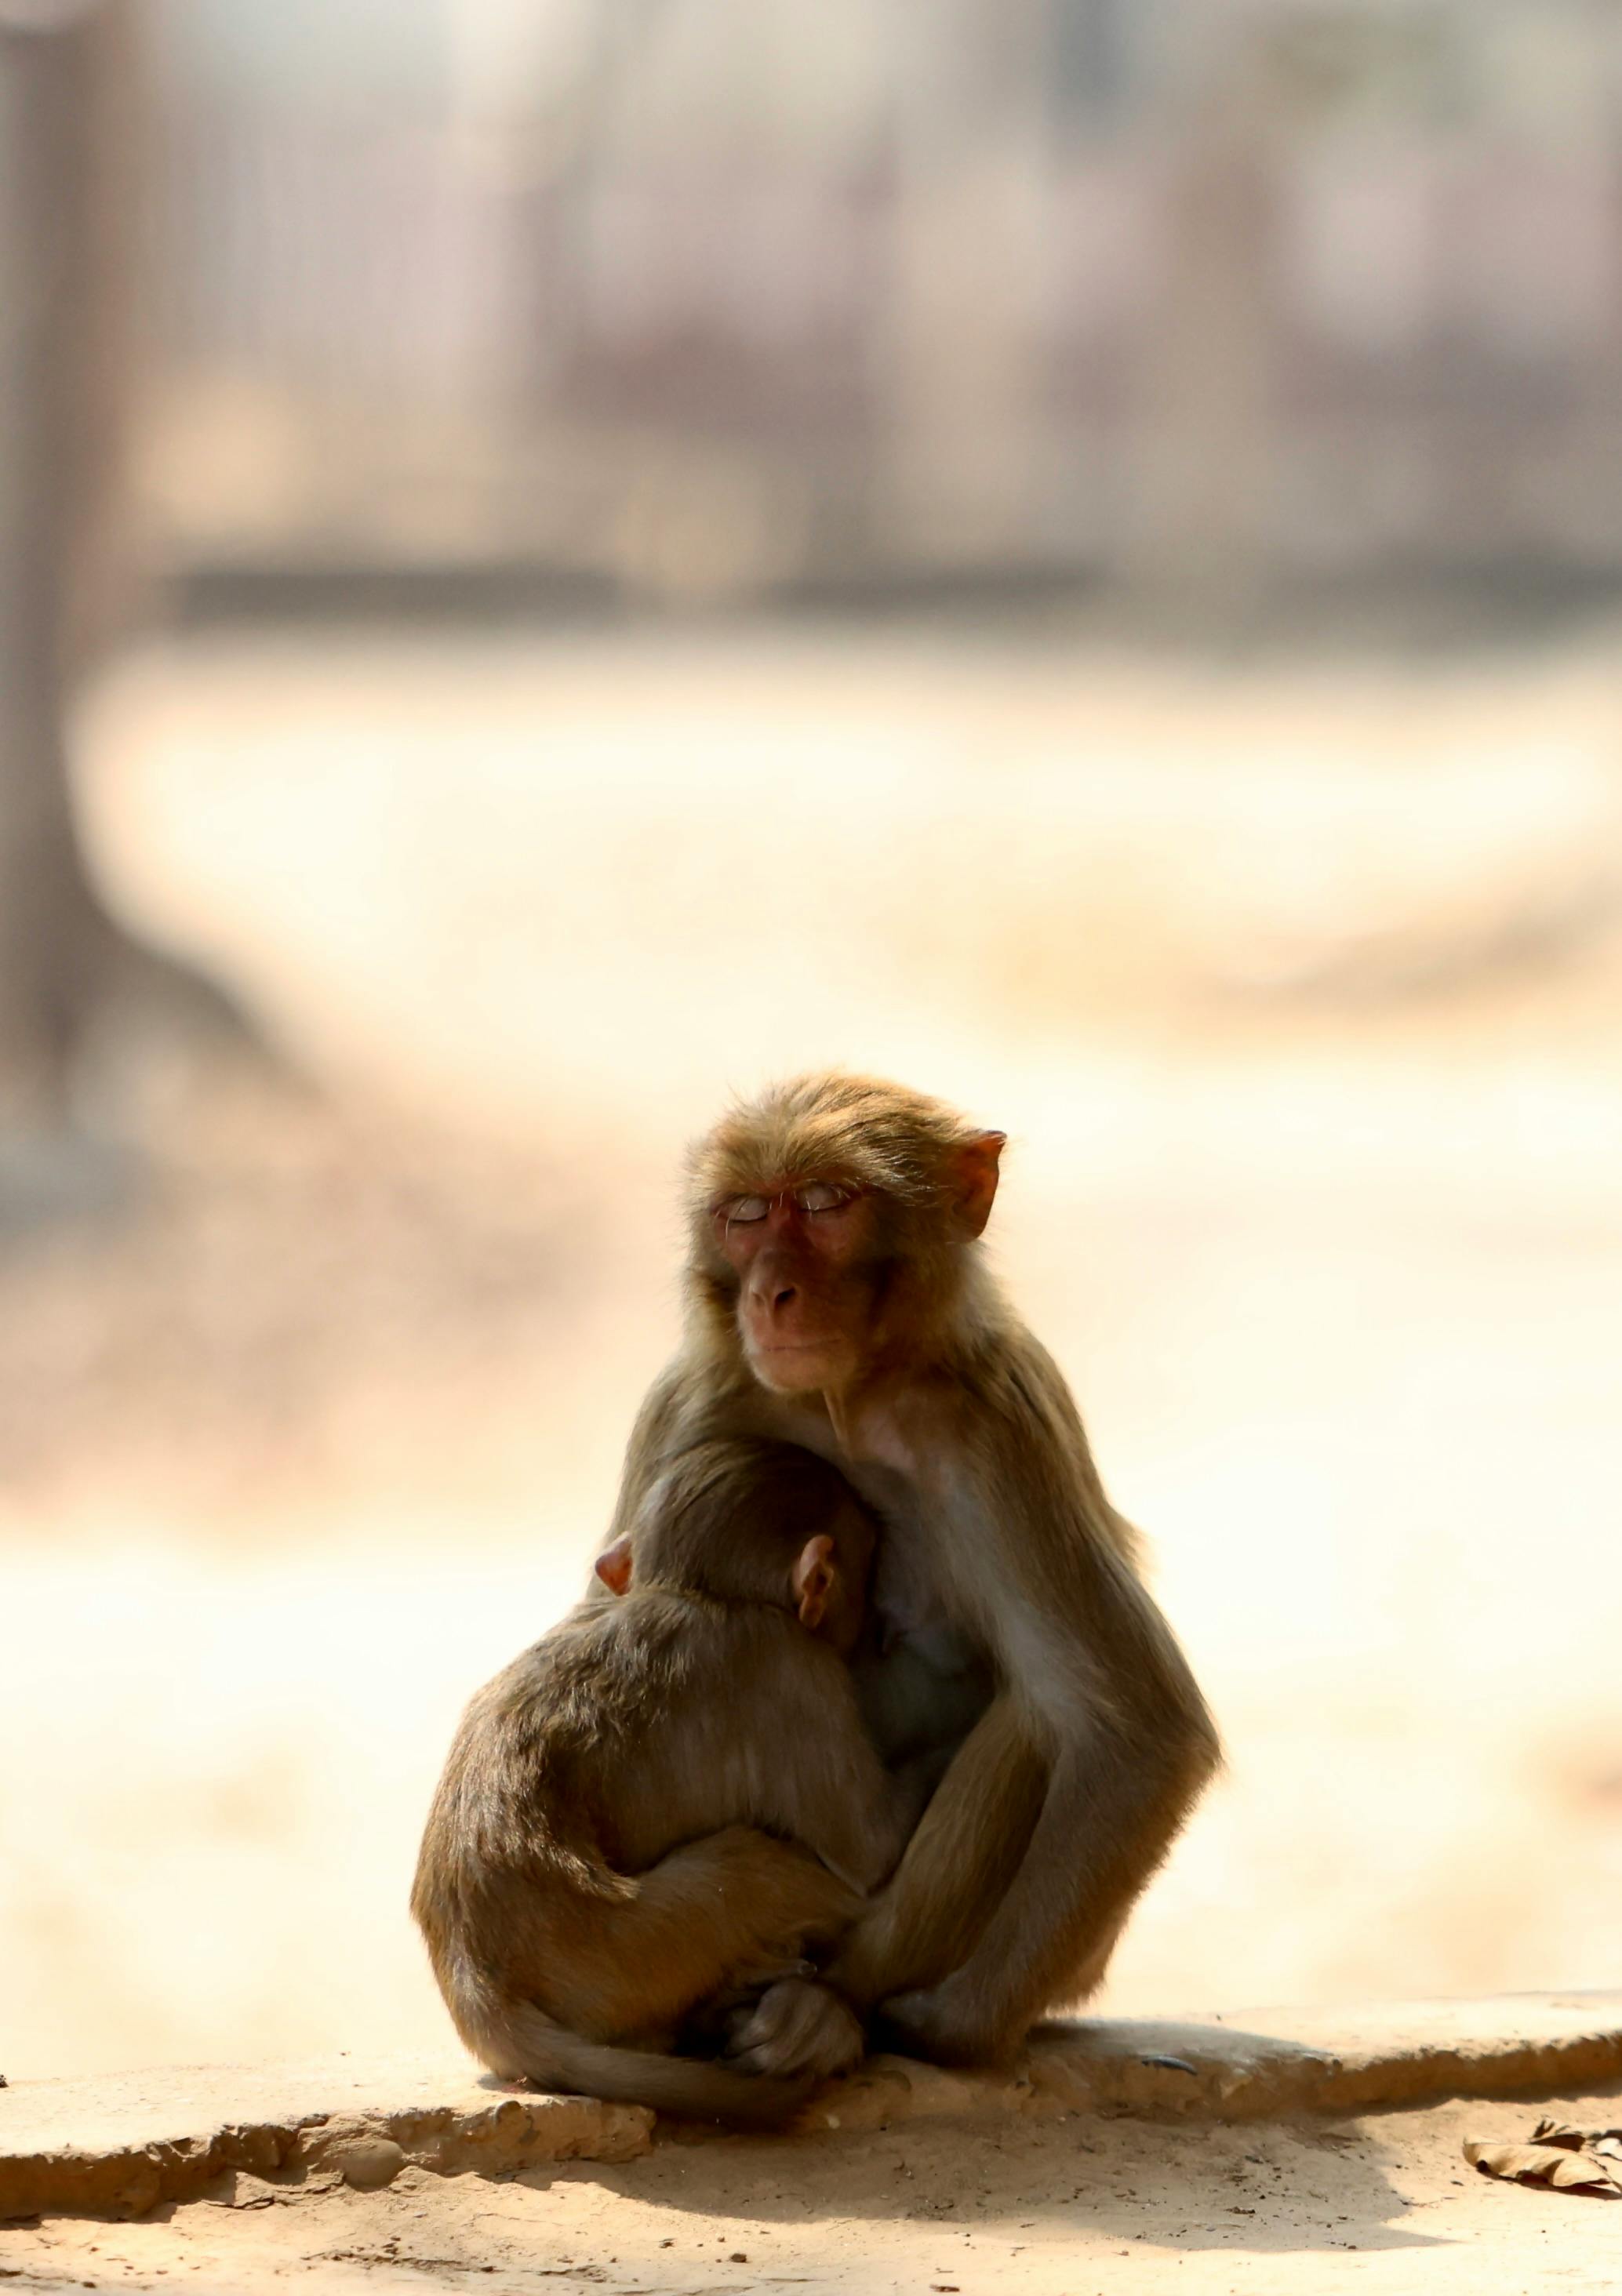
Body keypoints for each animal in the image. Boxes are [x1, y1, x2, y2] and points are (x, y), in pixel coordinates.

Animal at [411, 1438, 918, 2125]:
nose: (869, 1621)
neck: (694, 1591)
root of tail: (474, 1982)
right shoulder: (791, 1666)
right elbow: (873, 1850)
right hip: (639, 1951)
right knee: (750, 1865)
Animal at [603, 1072, 1221, 2081]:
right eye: (745, 1216)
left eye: (824, 1206)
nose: (771, 1294)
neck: (847, 1400)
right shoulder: (685, 1402)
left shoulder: (995, 1429)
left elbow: (1138, 1728)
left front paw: (939, 2028)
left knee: (1036, 1716)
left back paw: (825, 2009)